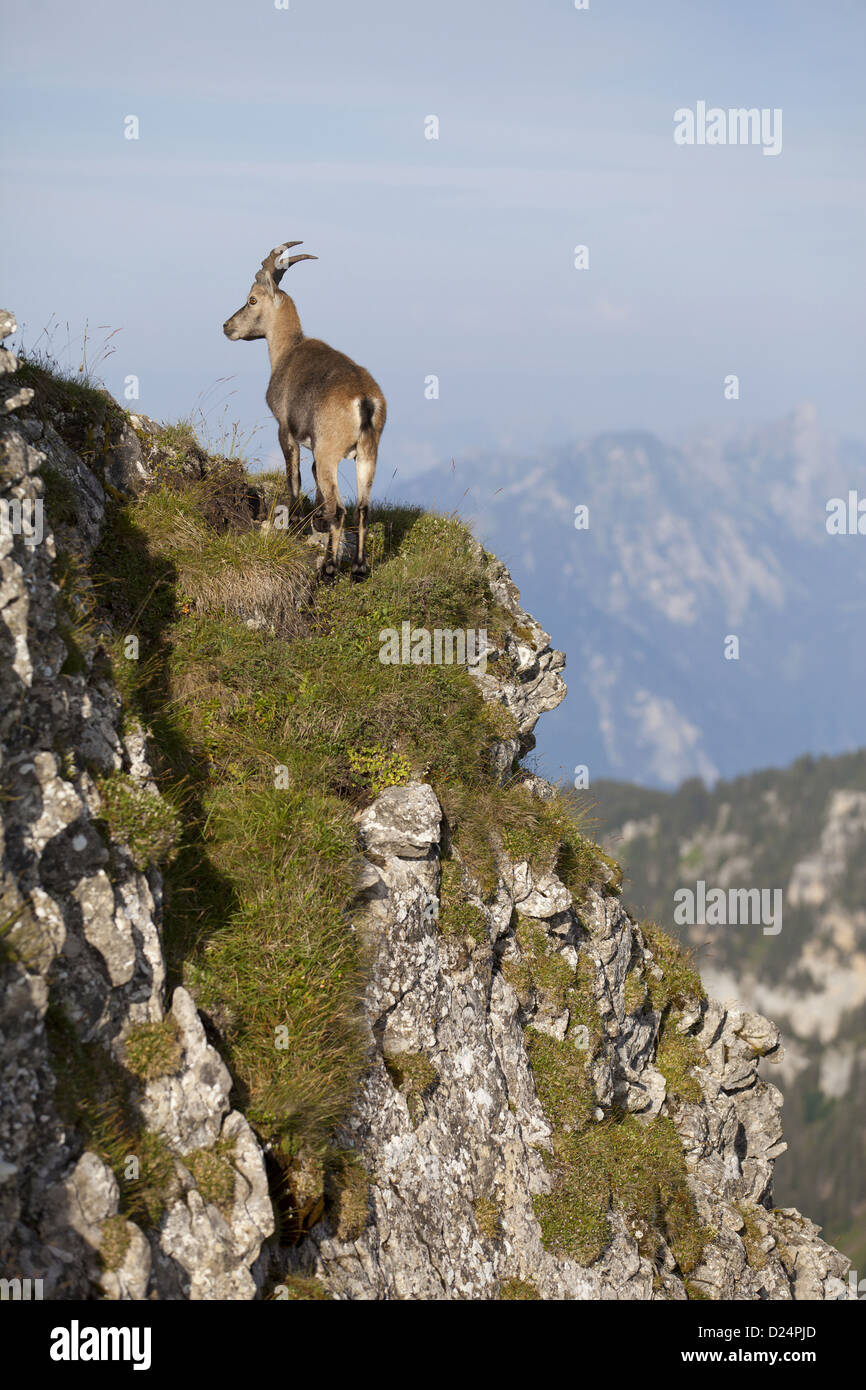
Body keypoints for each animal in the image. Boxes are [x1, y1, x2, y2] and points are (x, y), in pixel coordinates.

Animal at [223, 241, 386, 580]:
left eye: (252, 299)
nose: (227, 326)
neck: (287, 350)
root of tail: (364, 401)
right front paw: (313, 522)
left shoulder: (285, 429)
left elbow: (294, 477)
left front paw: (294, 521)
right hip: (368, 452)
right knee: (362, 508)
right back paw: (359, 568)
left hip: (330, 453)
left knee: (340, 509)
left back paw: (329, 568)